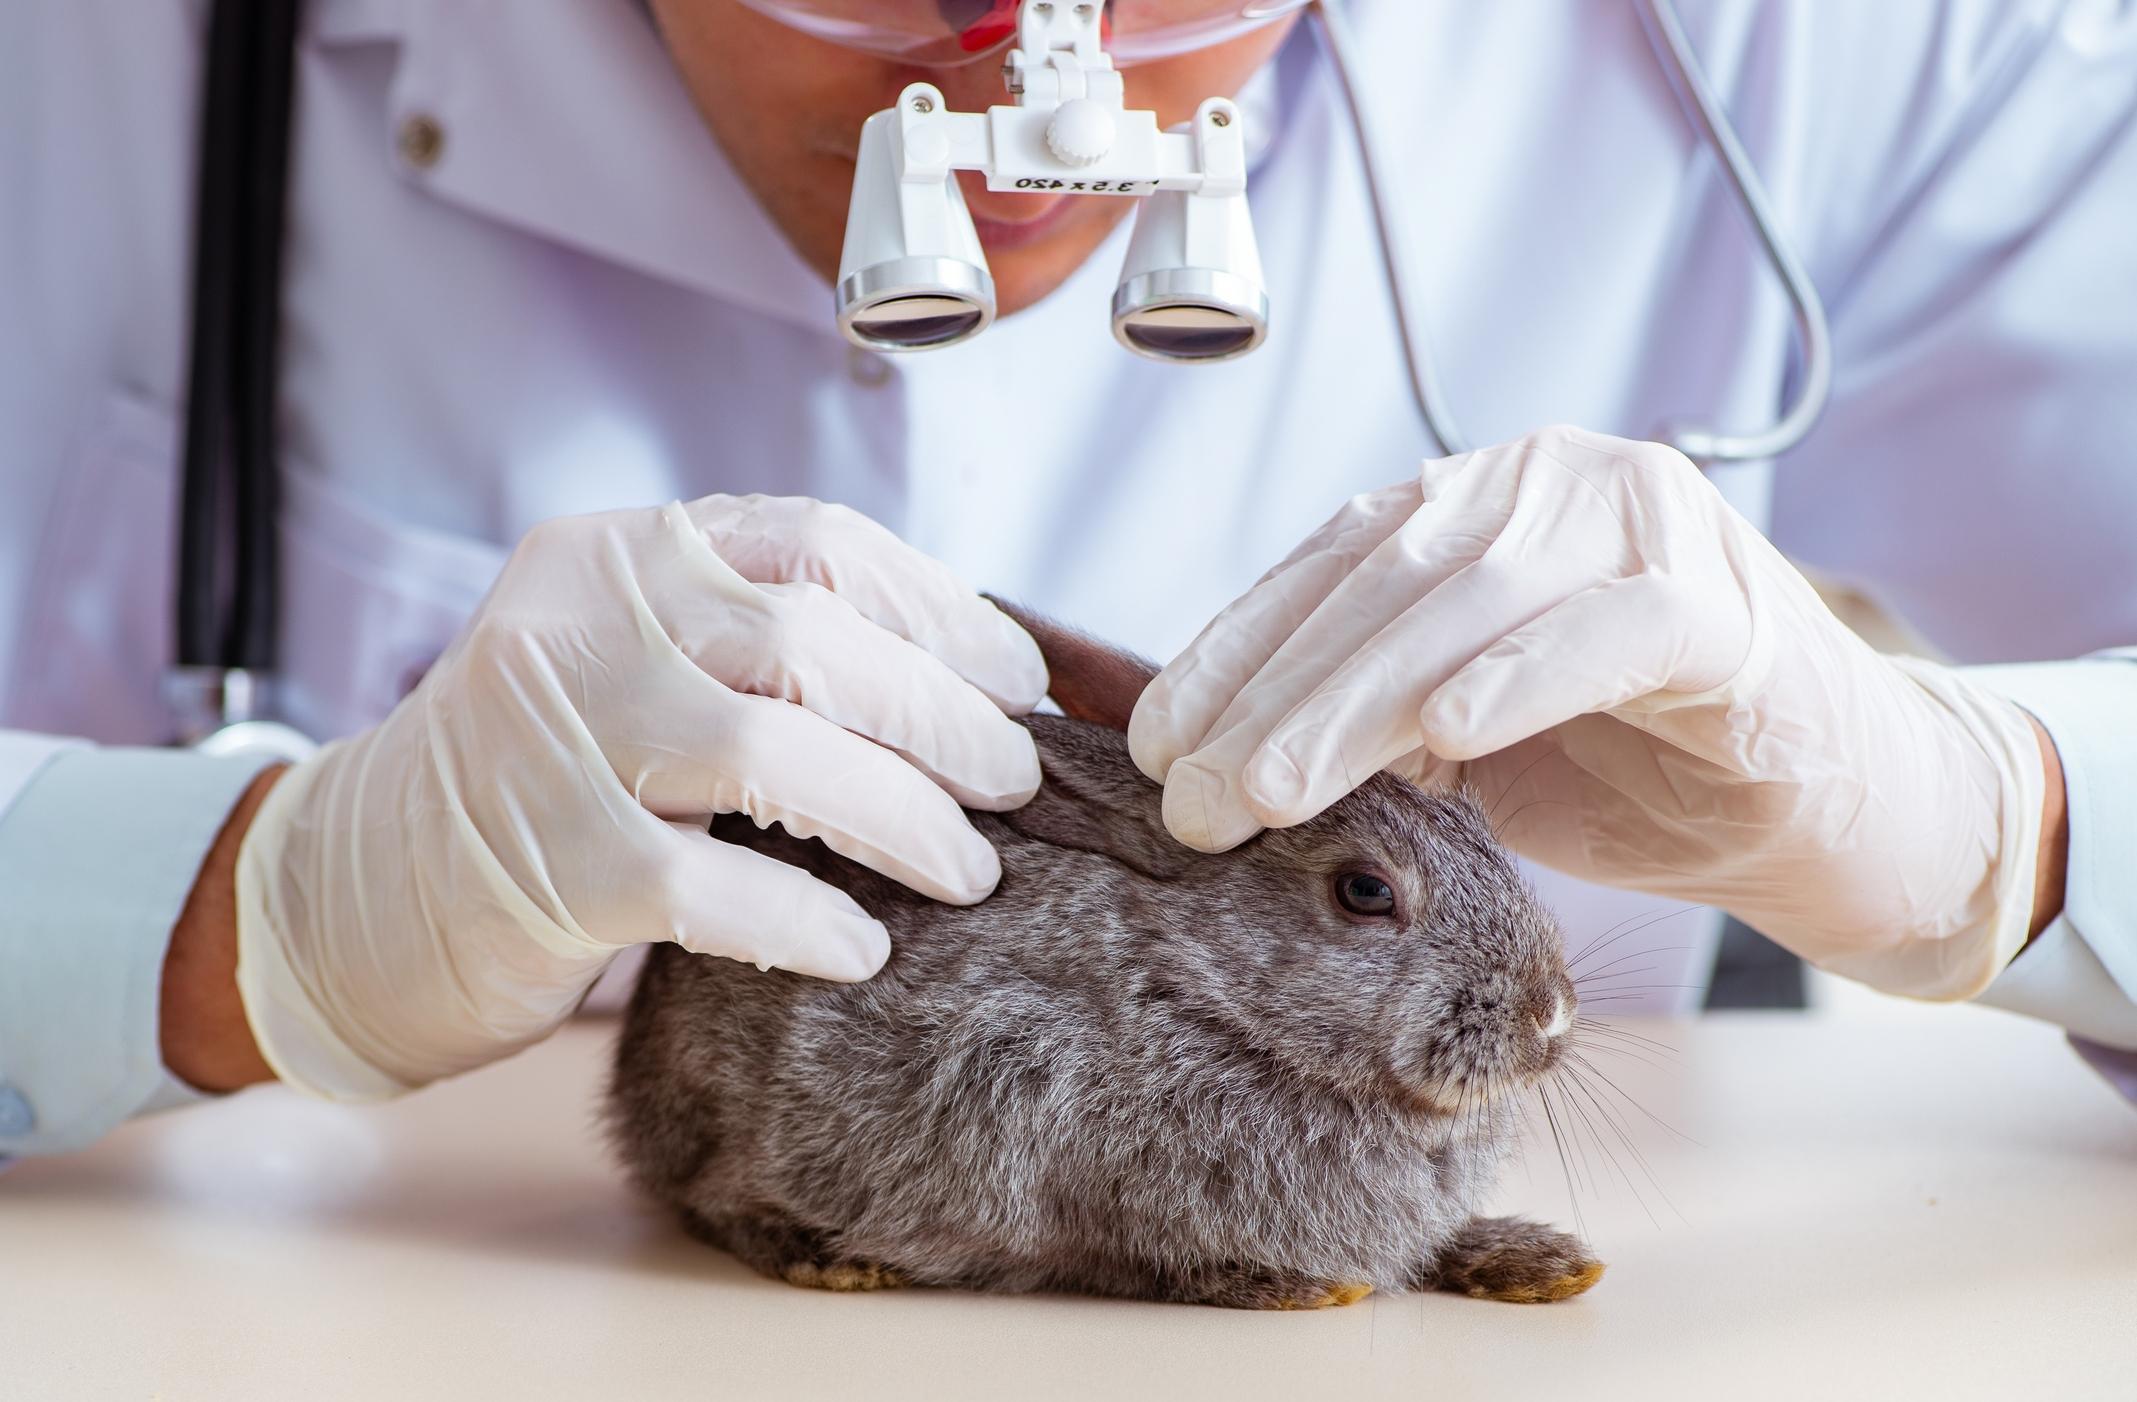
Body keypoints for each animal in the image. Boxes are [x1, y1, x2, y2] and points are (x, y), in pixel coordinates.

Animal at [606, 606, 1601, 1310]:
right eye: (1363, 891)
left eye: (1480, 827)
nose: (1549, 1014)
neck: (1202, 989)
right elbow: (1142, 1259)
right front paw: (1295, 1285)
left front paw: (1538, 1261)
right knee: (709, 1196)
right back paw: (827, 1260)